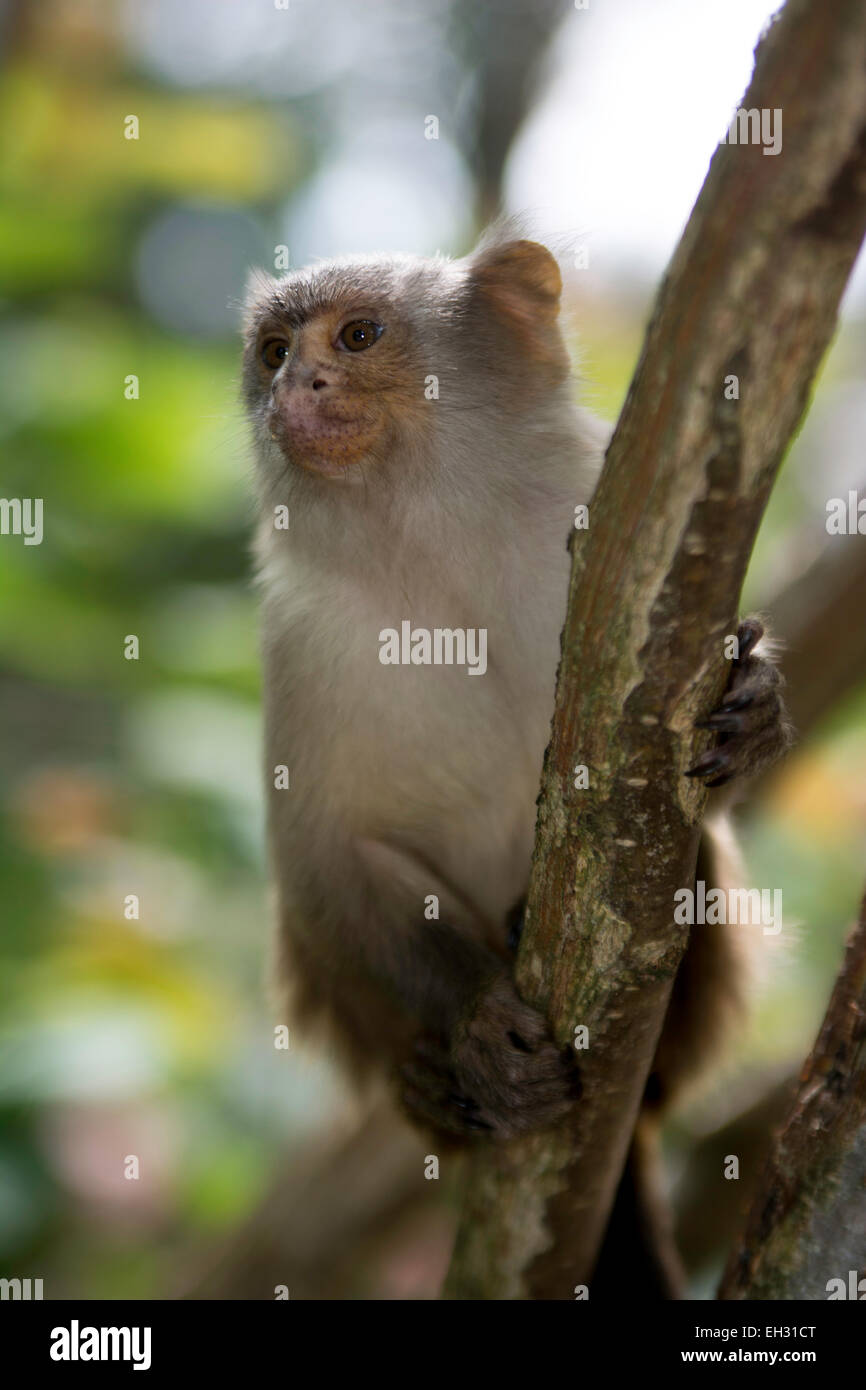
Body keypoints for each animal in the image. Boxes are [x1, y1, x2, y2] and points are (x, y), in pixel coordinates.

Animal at [241, 230, 793, 1287]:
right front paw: (472, 1027)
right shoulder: (305, 643)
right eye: (275, 352)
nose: (299, 384)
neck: (437, 559)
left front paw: (750, 710)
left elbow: (697, 797)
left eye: (358, 336)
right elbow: (329, 866)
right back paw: (437, 1093)